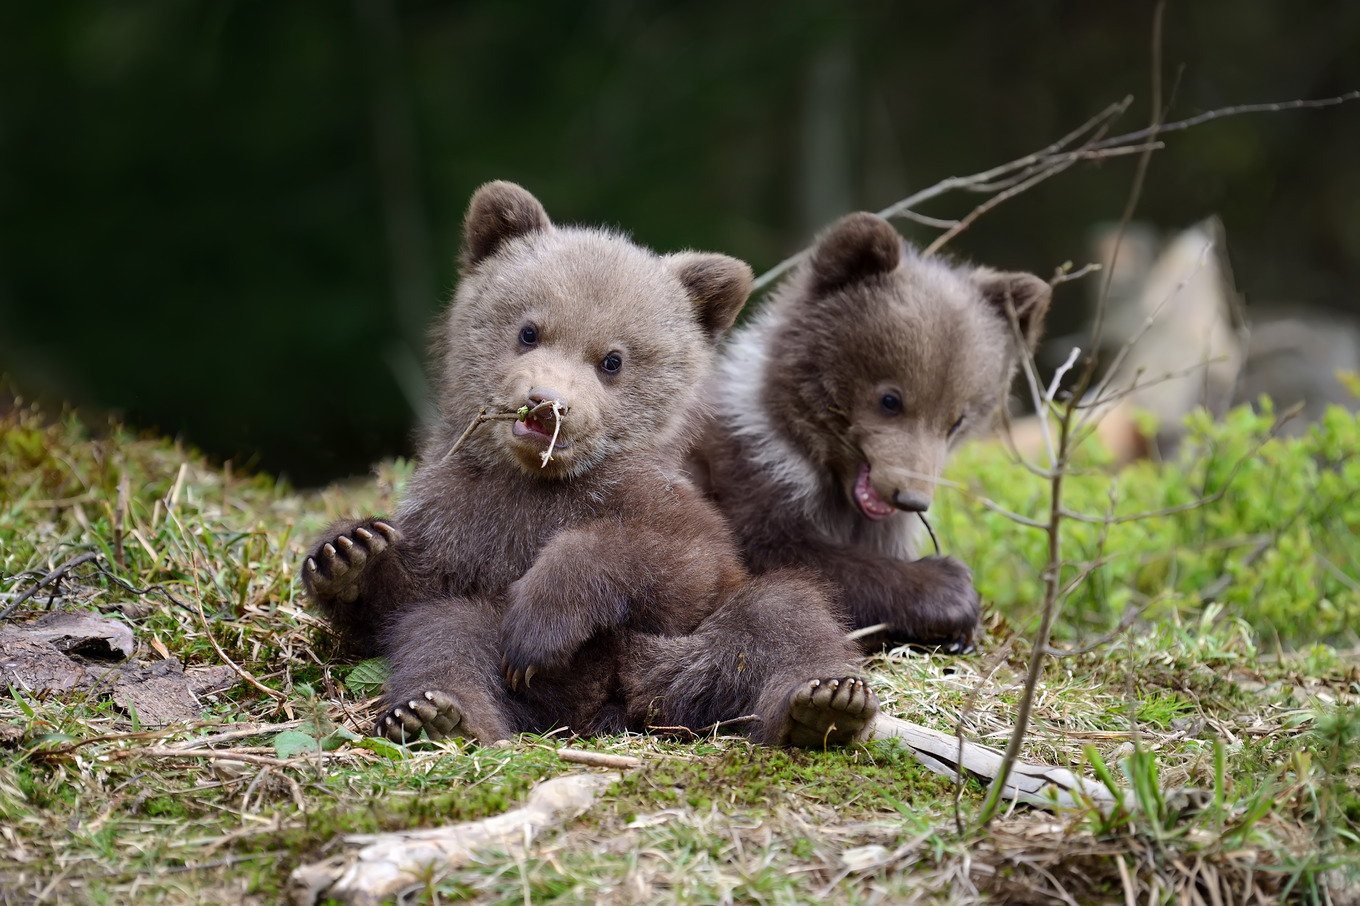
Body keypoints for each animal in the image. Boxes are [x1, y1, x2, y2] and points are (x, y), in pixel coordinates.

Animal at [302, 181, 877, 749]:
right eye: (529, 331)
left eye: (612, 360)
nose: (545, 403)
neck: (538, 477)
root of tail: (617, 709)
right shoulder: (456, 516)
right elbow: (406, 599)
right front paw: (347, 551)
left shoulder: (667, 509)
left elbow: (671, 562)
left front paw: (539, 624)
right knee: (445, 633)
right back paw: (440, 713)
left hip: (685, 648)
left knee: (783, 610)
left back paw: (824, 703)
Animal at [688, 211, 1052, 653]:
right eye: (891, 399)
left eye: (958, 419)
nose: (911, 497)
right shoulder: (746, 475)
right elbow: (785, 556)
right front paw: (949, 588)